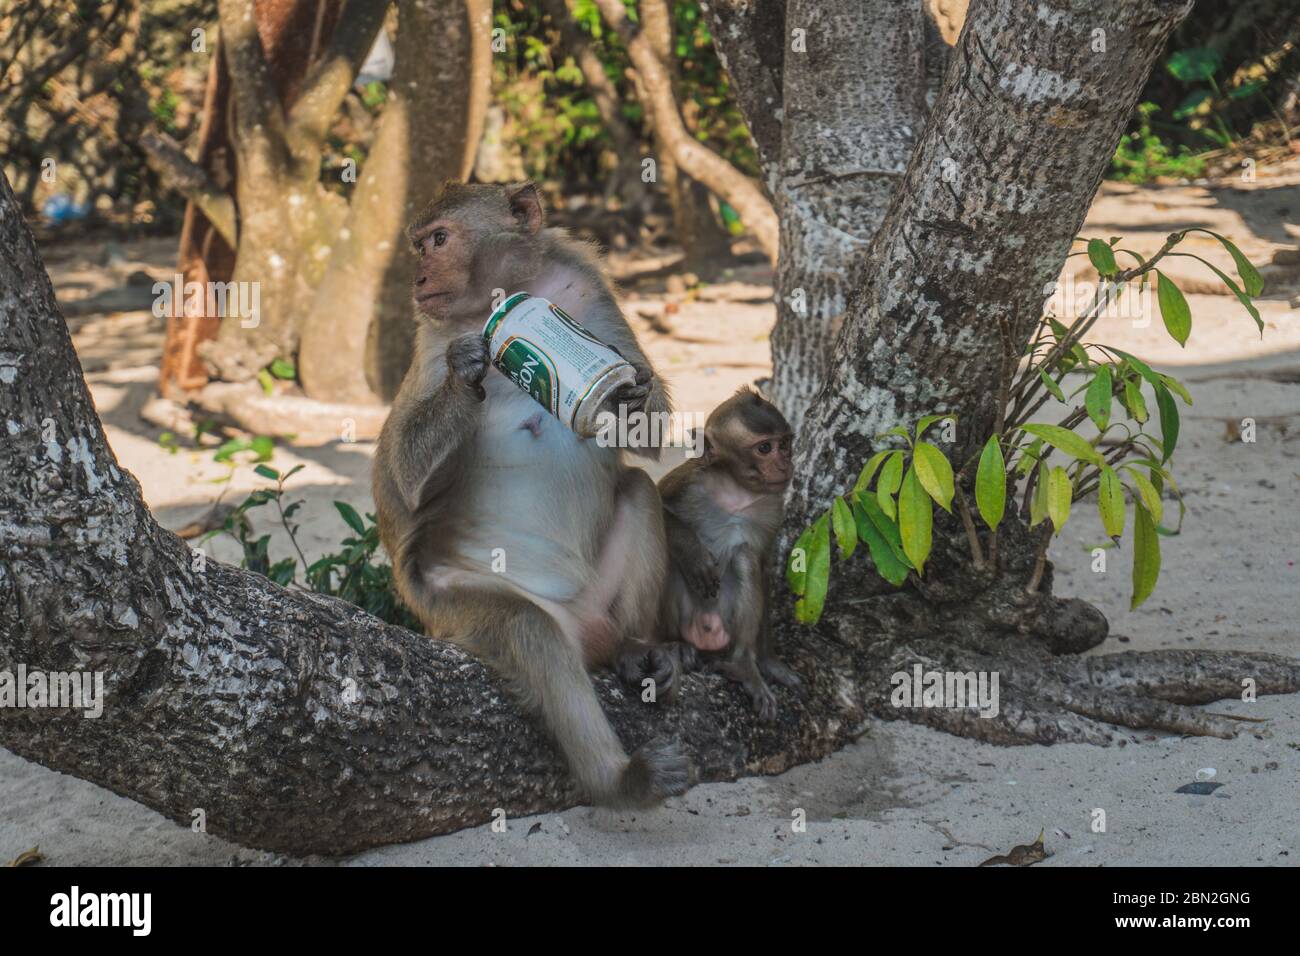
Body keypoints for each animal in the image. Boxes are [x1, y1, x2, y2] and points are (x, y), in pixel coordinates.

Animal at [372, 181, 689, 810]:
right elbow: (404, 484)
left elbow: (648, 440)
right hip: (456, 608)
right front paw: (465, 374)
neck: (499, 301)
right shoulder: (432, 339)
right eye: (420, 245)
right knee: (529, 631)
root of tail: (586, 629)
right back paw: (619, 780)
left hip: (602, 600)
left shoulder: (586, 288)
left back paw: (636, 649)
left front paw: (630, 395)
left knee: (640, 492)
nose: (417, 279)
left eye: (437, 240)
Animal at [657, 387, 801, 722]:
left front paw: (770, 662)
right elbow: (656, 505)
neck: (736, 491)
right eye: (764, 448)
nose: (785, 464)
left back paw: (743, 665)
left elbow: (762, 565)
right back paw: (674, 644)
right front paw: (693, 553)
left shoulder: (772, 507)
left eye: (785, 444)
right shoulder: (688, 480)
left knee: (744, 558)